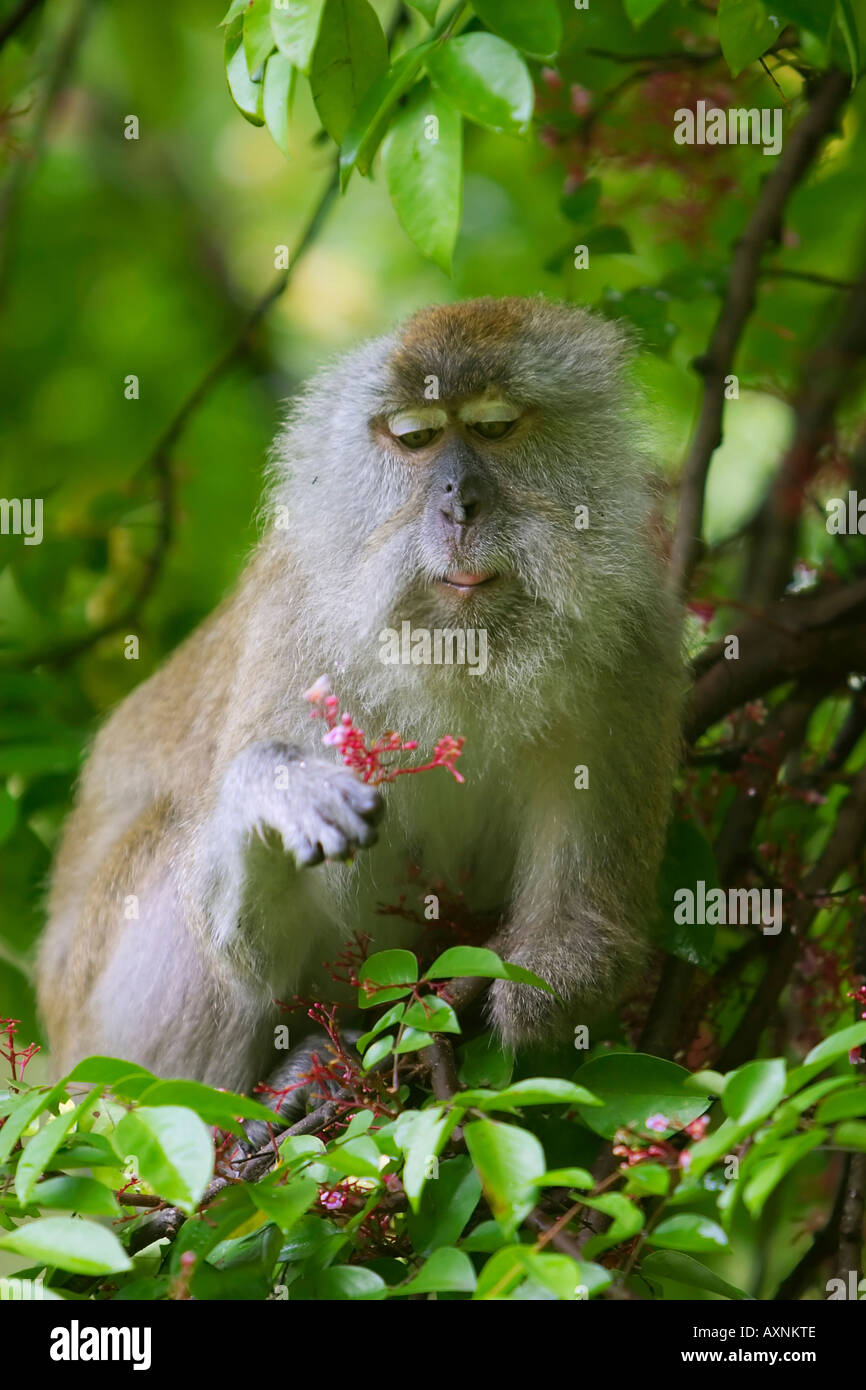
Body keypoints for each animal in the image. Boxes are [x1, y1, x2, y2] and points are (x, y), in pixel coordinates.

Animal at [37, 296, 684, 1110]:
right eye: (416, 438)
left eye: (495, 426)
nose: (461, 504)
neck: (466, 655)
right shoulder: (294, 629)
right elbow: (246, 956)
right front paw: (275, 788)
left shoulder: (638, 640)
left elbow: (590, 939)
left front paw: (538, 990)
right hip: (101, 1043)